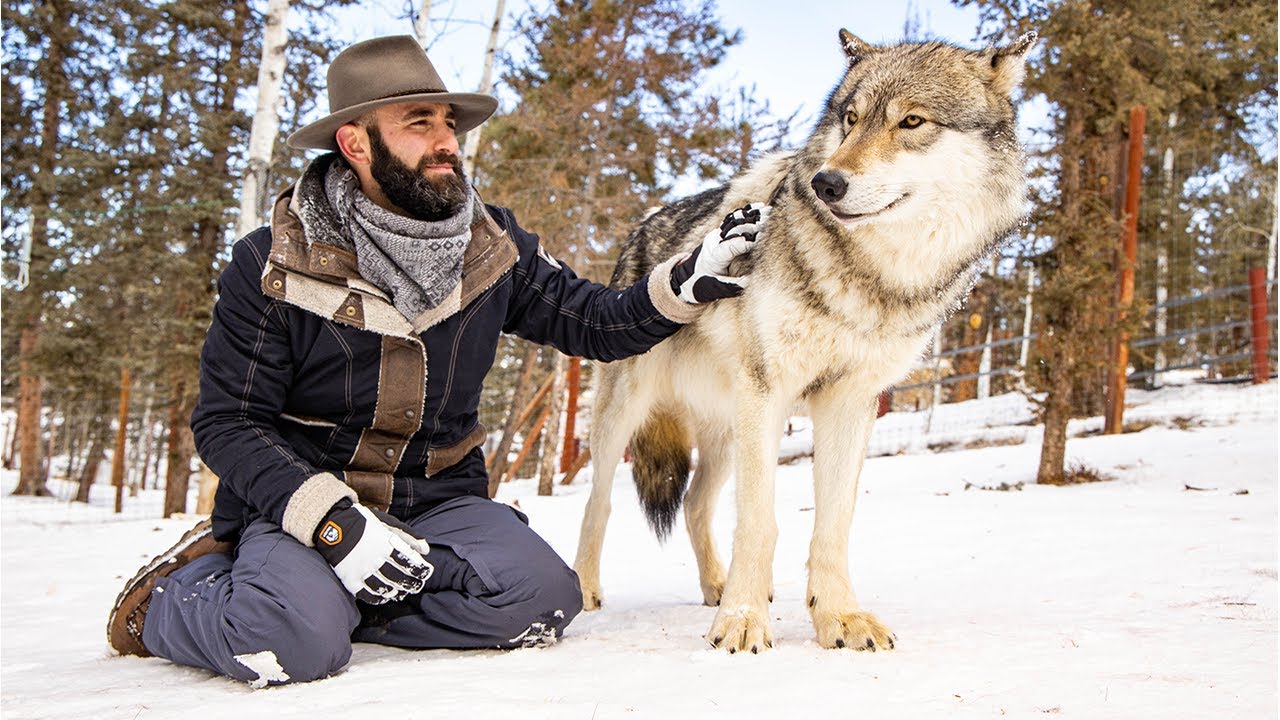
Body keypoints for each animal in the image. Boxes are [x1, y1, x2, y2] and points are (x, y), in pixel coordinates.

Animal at [573, 29, 1037, 653]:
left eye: (912, 121)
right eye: (850, 118)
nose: (827, 183)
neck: (874, 276)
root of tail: (639, 230)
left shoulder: (849, 401)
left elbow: (833, 524)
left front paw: (839, 617)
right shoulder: (769, 391)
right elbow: (759, 520)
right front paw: (743, 621)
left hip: (727, 427)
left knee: (694, 504)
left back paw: (716, 585)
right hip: (630, 416)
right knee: (597, 503)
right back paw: (586, 589)